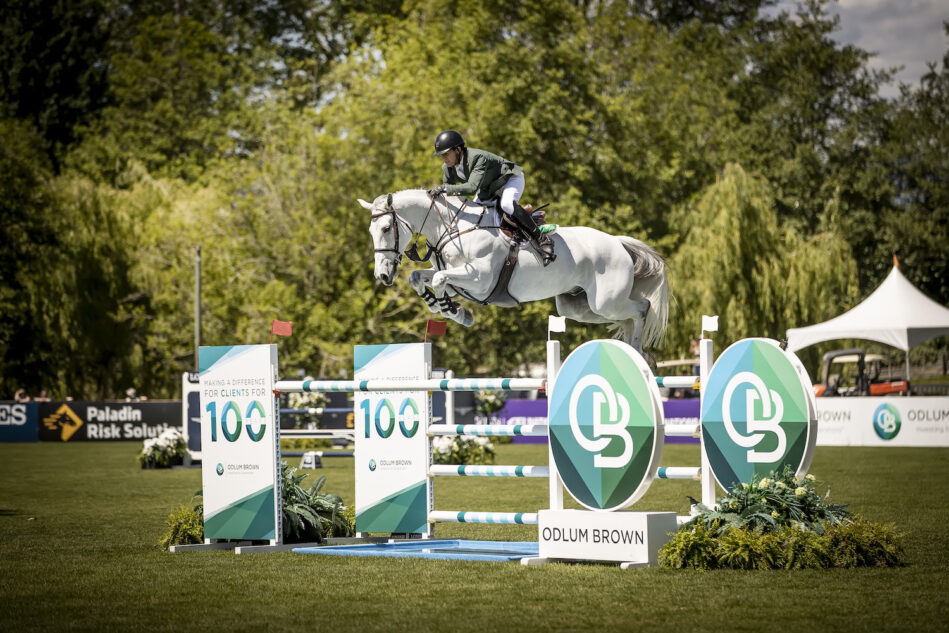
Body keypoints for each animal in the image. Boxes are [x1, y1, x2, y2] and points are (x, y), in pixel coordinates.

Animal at [357, 189, 669, 355]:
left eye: (386, 228)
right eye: (371, 232)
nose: (383, 276)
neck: (455, 227)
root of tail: (618, 242)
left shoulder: (480, 279)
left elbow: (439, 278)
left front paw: (453, 310)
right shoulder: (457, 276)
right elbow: (420, 277)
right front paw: (446, 307)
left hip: (605, 301)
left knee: (641, 308)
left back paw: (639, 351)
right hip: (580, 307)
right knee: (626, 317)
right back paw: (634, 351)